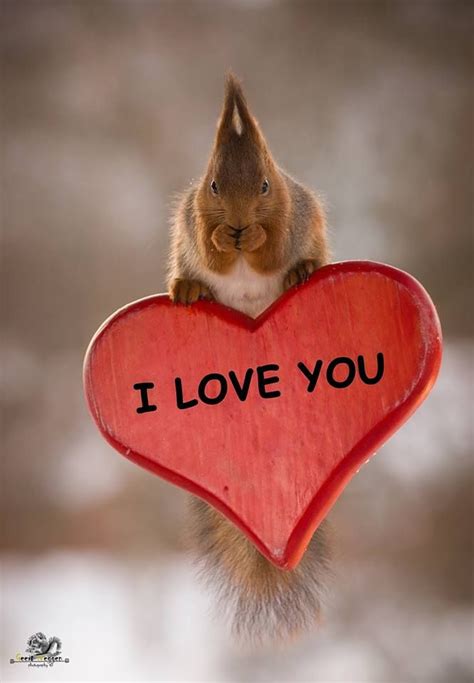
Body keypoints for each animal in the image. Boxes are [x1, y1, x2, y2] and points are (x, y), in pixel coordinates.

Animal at [167, 73, 332, 643]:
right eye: (214, 185)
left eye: (264, 184)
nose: (238, 223)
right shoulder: (194, 216)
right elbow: (211, 248)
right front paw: (224, 238)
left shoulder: (290, 213)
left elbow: (271, 245)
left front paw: (255, 237)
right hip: (181, 251)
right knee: (192, 271)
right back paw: (187, 288)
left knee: (297, 260)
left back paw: (303, 271)